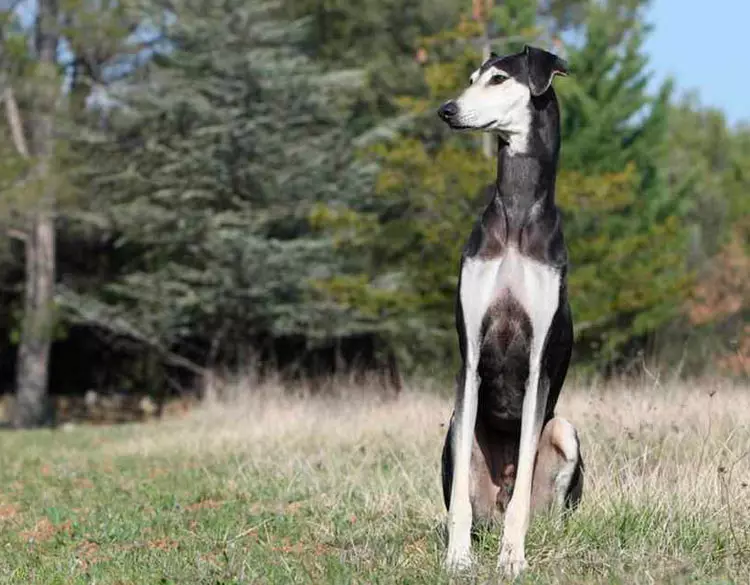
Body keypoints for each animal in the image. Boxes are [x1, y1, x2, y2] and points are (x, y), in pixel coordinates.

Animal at [438, 44, 584, 576]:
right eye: (471, 78)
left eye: (499, 79)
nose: (447, 111)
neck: (518, 215)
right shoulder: (471, 360)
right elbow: (460, 501)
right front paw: (458, 558)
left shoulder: (539, 363)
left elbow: (522, 491)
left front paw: (513, 559)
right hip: (455, 429)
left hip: (564, 430)